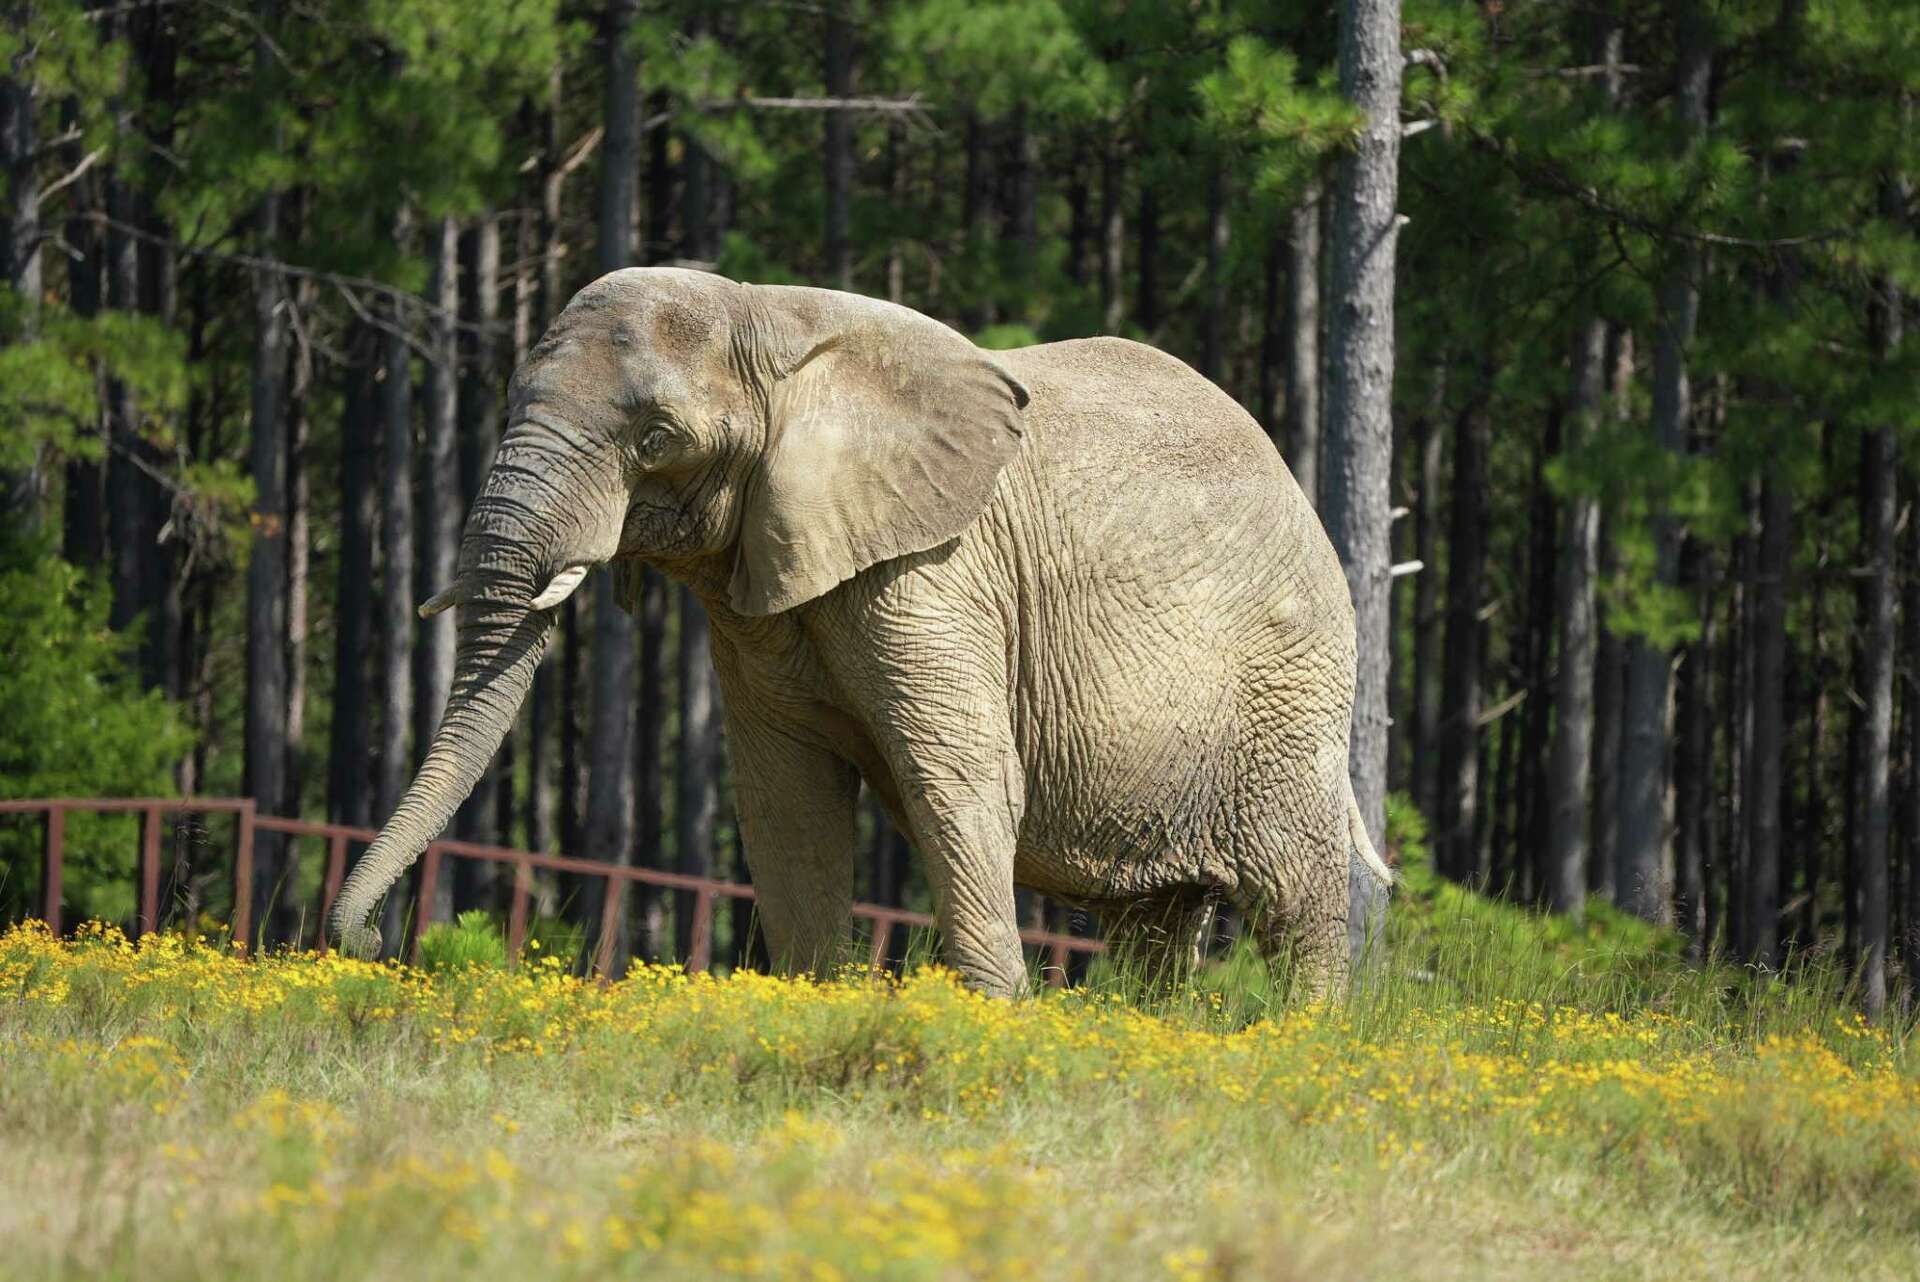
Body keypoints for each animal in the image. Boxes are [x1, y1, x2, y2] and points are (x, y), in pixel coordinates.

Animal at [329, 267, 1391, 997]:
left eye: (656, 440)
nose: (370, 940)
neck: (768, 320)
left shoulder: (936, 573)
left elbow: (960, 778)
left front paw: (995, 1019)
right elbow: (787, 801)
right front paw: (814, 998)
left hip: (1289, 681)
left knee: (1294, 897)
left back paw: (1303, 1039)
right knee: (1155, 922)